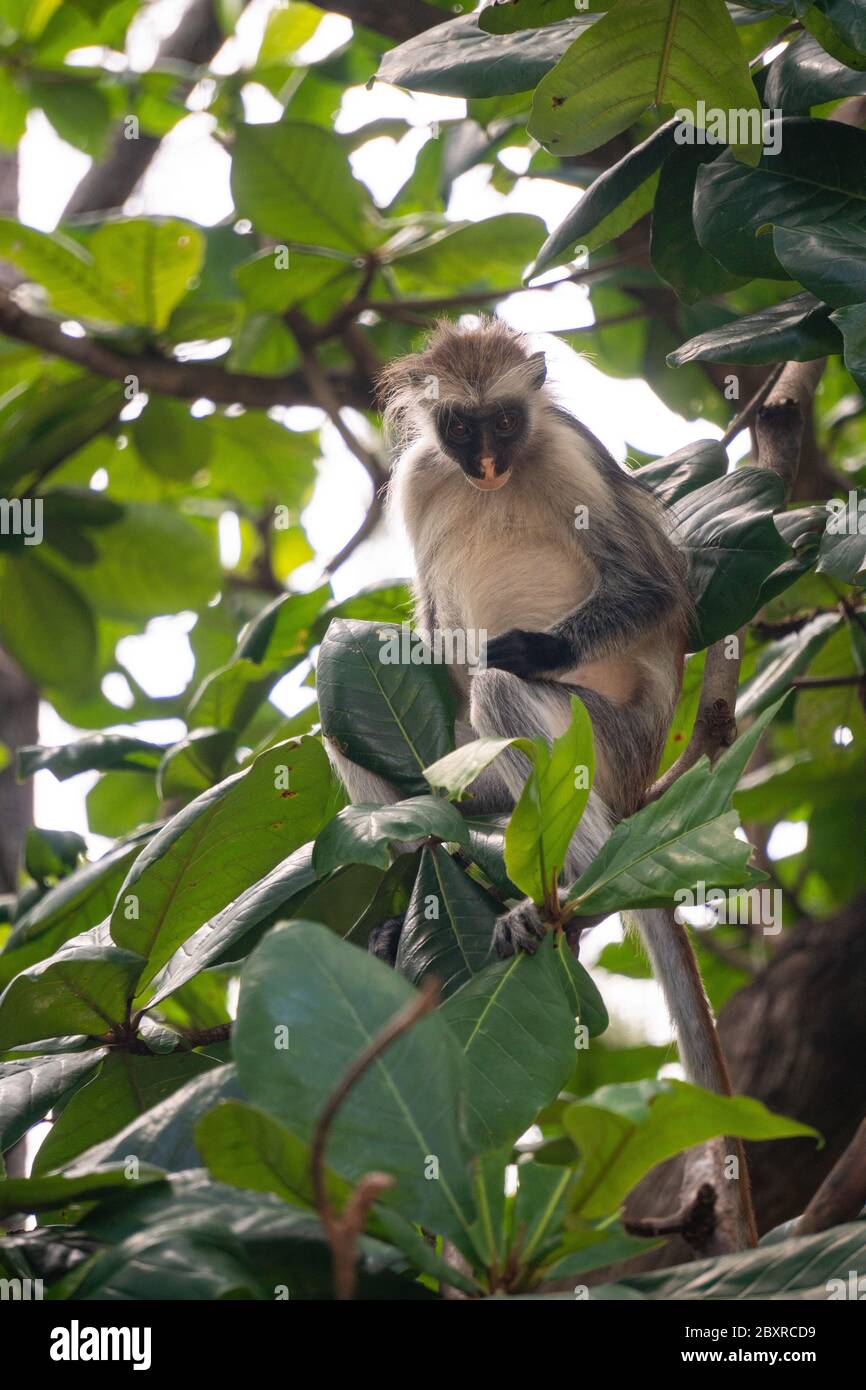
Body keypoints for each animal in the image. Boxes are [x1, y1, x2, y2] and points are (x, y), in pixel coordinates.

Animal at [324, 318, 739, 1113]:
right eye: (462, 426)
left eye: (508, 422)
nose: (486, 463)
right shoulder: (422, 475)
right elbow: (430, 628)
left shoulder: (567, 454)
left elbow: (655, 590)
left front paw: (531, 647)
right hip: (467, 772)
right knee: (344, 728)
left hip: (607, 742)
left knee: (497, 690)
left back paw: (566, 893)